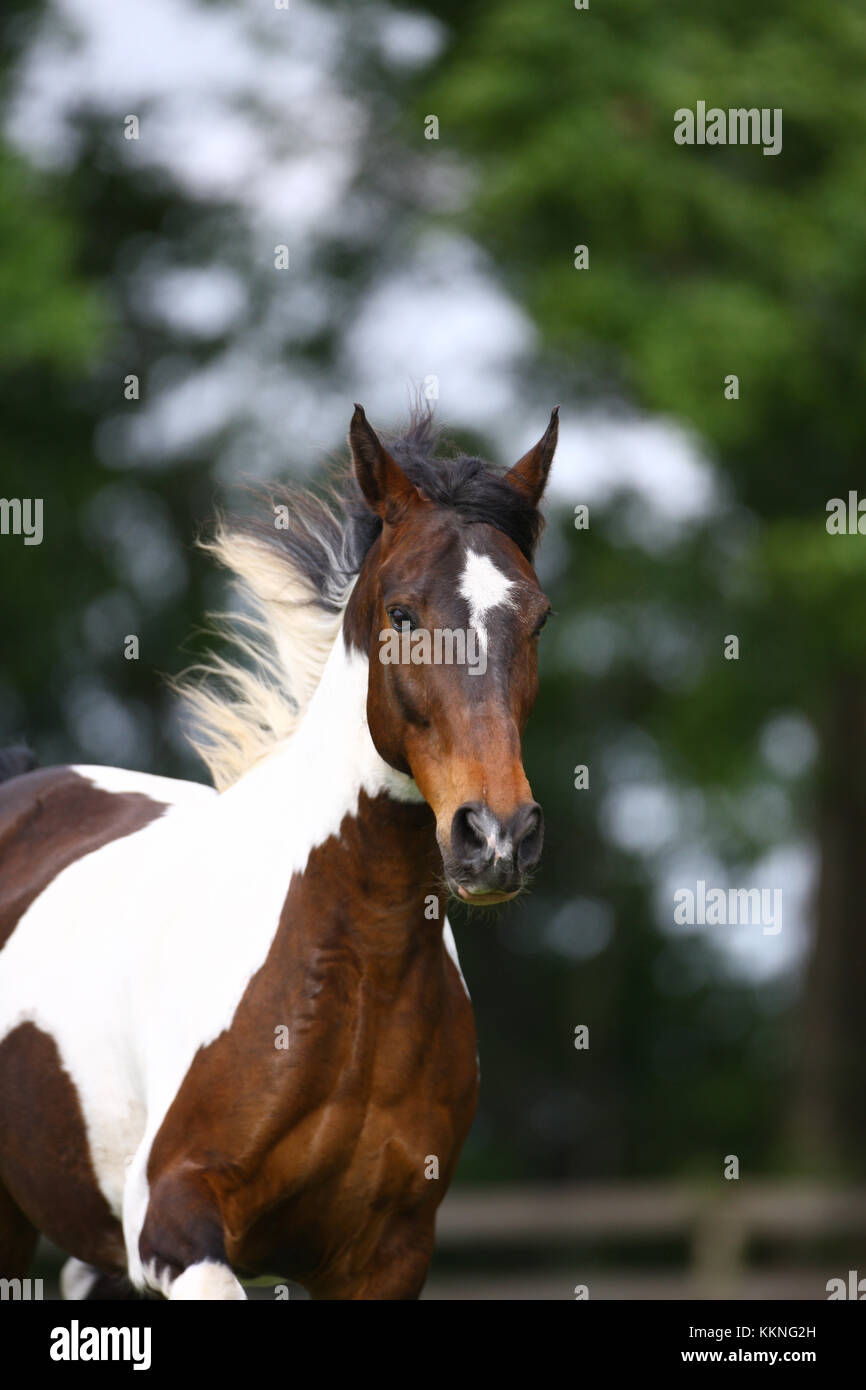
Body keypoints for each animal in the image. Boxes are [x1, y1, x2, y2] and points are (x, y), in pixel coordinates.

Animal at [0, 402, 558, 1300]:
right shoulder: (176, 1226)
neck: (353, 976)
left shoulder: (387, 1257)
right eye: (403, 613)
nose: (497, 836)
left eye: (537, 618)